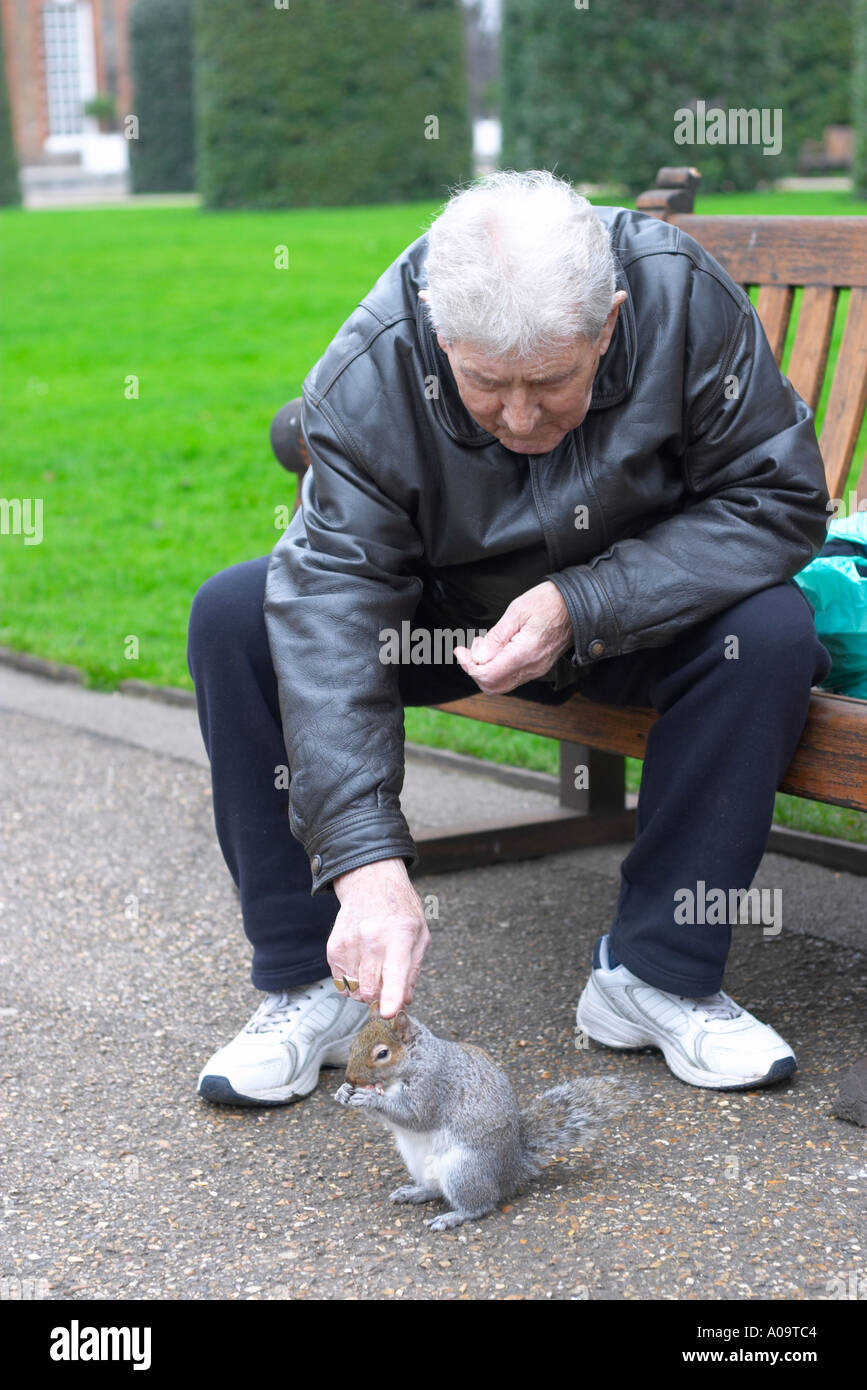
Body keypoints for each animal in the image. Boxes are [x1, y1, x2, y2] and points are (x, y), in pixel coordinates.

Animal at [333, 1005, 634, 1232]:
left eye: (382, 1053)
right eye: (353, 1044)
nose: (350, 1078)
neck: (416, 1060)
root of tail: (512, 1169)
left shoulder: (433, 1085)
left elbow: (414, 1116)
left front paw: (369, 1099)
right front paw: (343, 1092)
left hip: (464, 1168)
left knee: (481, 1204)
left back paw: (452, 1216)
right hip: (418, 1162)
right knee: (436, 1189)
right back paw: (415, 1192)